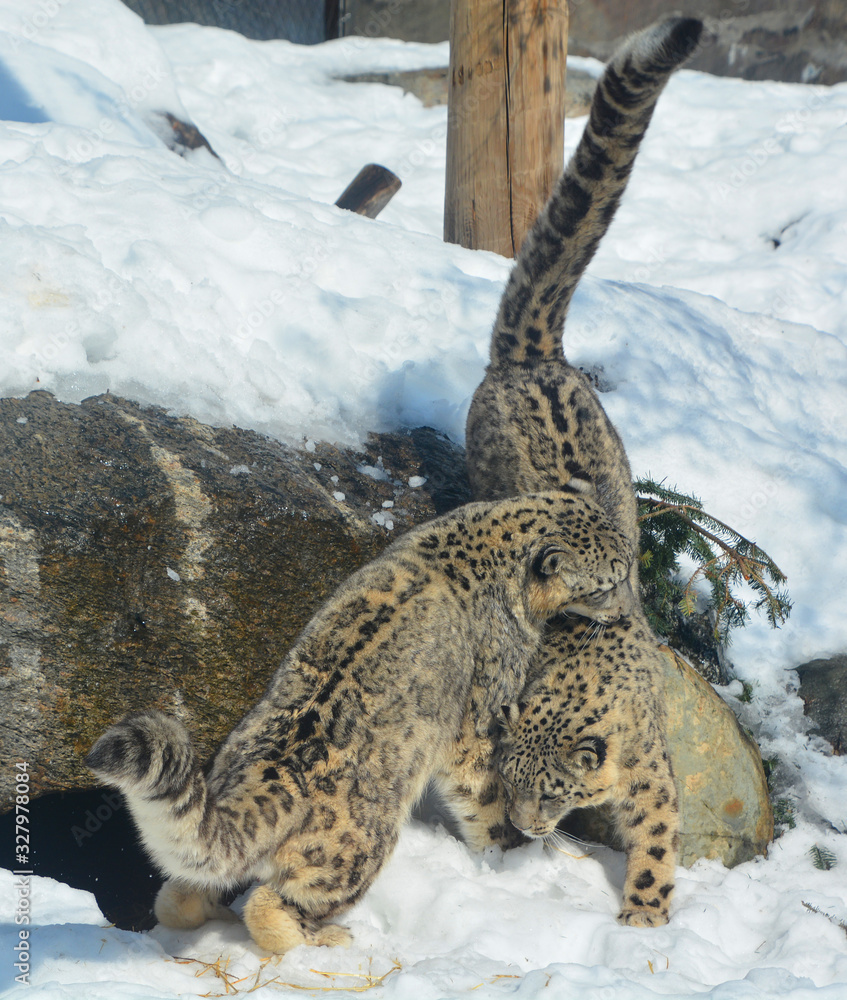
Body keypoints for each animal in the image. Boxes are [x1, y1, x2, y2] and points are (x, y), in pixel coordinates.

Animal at [86, 486, 637, 956]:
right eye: (608, 583)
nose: (627, 612)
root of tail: (266, 773)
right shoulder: (482, 717)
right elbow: (484, 794)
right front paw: (507, 855)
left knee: (184, 888)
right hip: (356, 851)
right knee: (273, 903)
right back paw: (326, 942)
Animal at [461, 15, 704, 927]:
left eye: (557, 788)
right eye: (510, 781)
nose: (531, 828)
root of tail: (534, 355)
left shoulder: (651, 778)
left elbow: (658, 842)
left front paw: (642, 916)